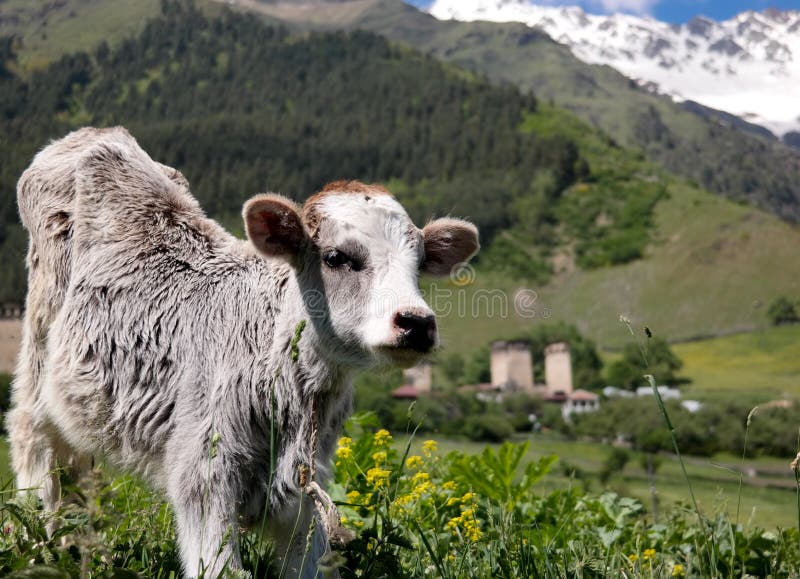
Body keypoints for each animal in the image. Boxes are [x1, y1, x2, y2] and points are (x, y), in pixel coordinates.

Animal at [7, 127, 479, 578]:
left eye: (418, 264)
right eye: (337, 257)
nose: (416, 322)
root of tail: (99, 135)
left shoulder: (304, 489)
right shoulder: (203, 472)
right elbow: (221, 569)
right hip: (40, 339)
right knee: (35, 442)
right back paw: (40, 545)